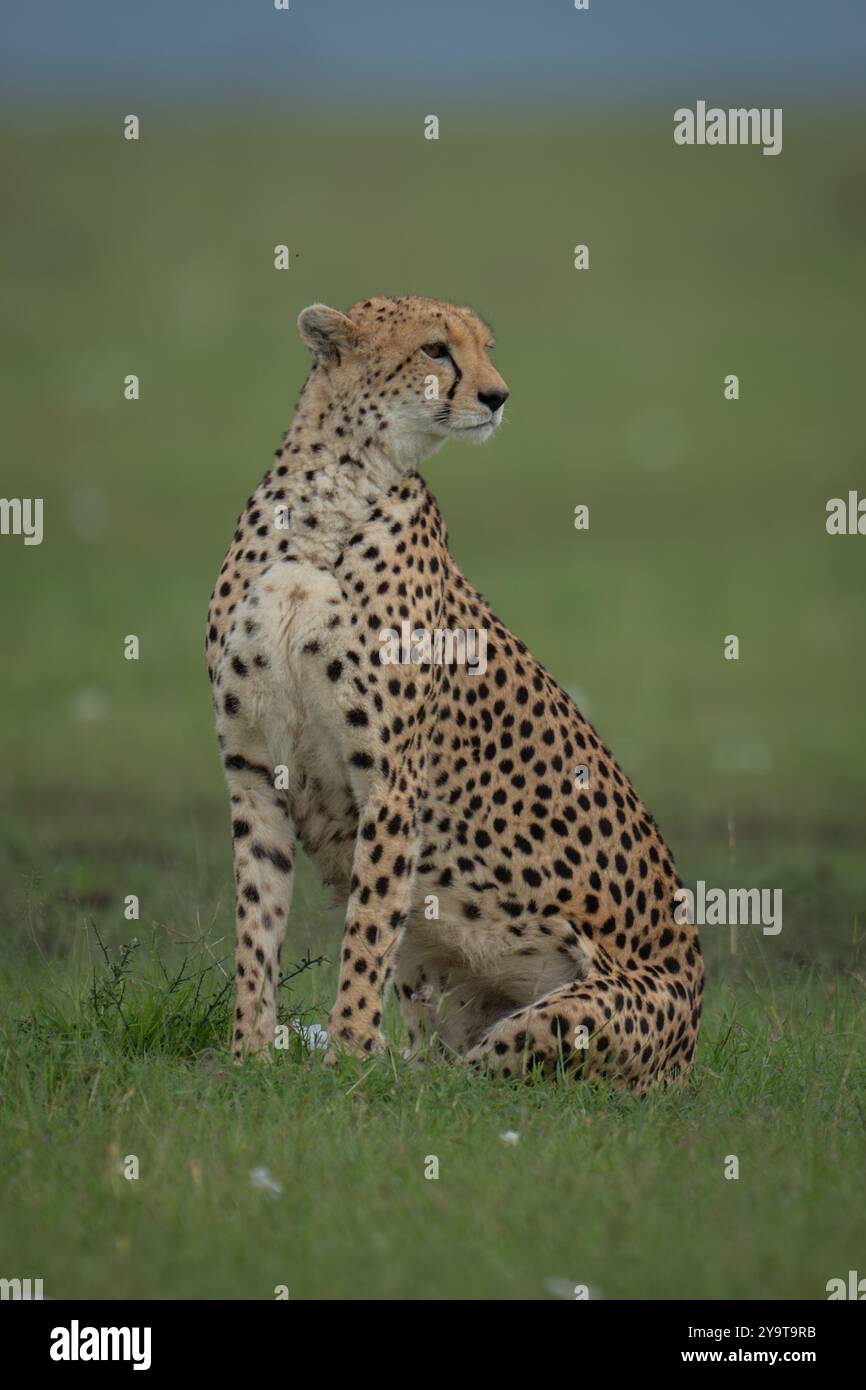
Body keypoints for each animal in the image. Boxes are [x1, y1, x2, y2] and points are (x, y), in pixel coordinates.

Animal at [206, 294, 704, 1093]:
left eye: (486, 348)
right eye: (436, 349)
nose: (498, 396)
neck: (325, 504)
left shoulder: (391, 784)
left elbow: (369, 929)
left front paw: (348, 1058)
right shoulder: (252, 772)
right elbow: (258, 923)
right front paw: (247, 1053)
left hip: (575, 1011)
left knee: (478, 1073)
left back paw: (400, 1070)